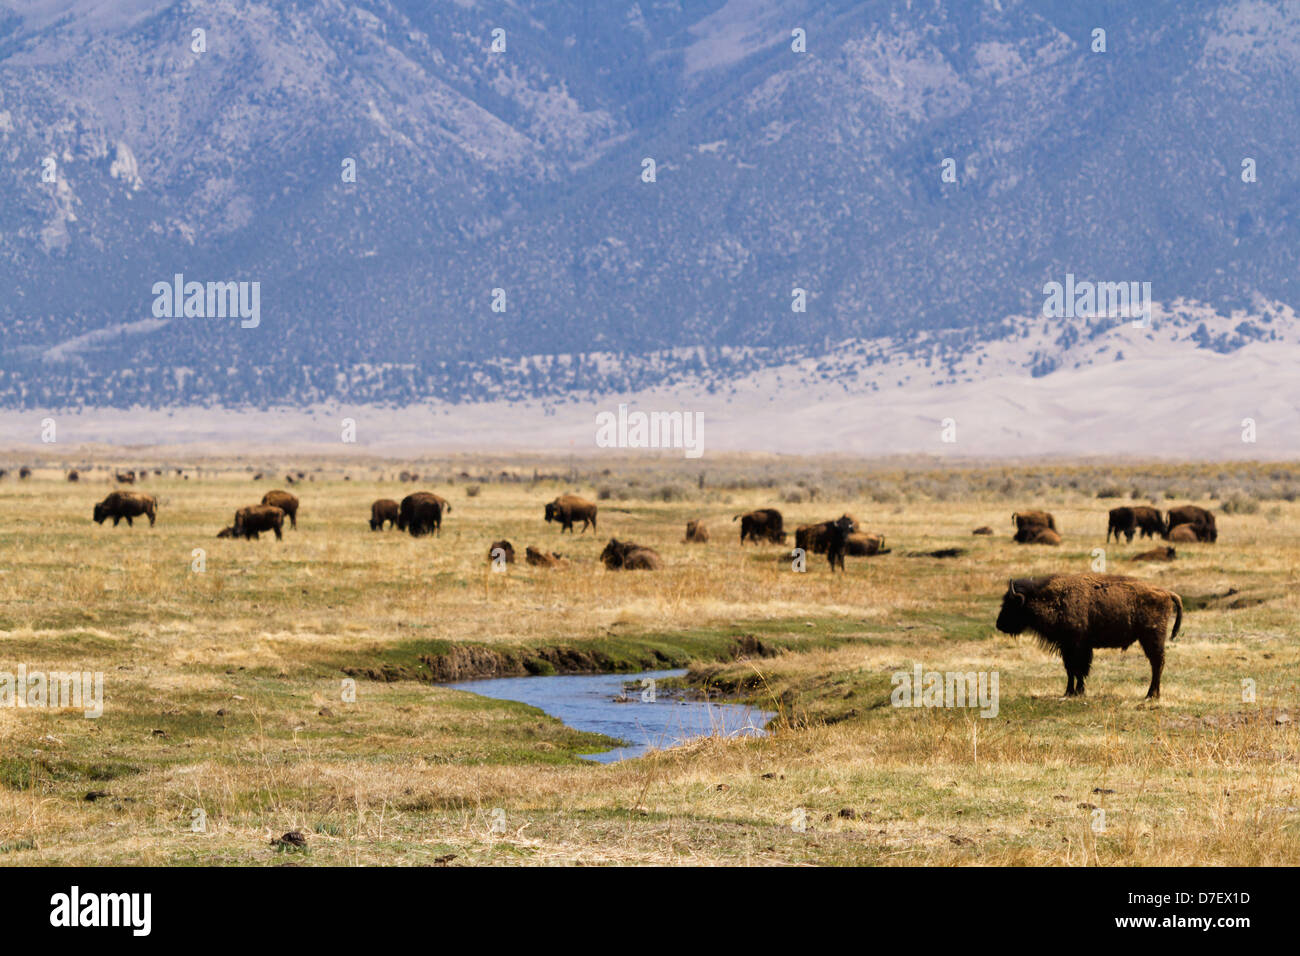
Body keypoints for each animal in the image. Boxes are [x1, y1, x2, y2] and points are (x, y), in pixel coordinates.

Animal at [996, 573, 1182, 699]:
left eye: (1011, 604)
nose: (999, 625)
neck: (1055, 599)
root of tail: (1167, 593)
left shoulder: (1077, 646)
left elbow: (1078, 669)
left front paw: (1077, 692)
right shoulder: (1067, 647)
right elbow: (1071, 670)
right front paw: (1070, 691)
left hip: (1151, 638)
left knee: (1157, 663)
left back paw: (1151, 695)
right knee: (1157, 664)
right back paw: (1154, 694)